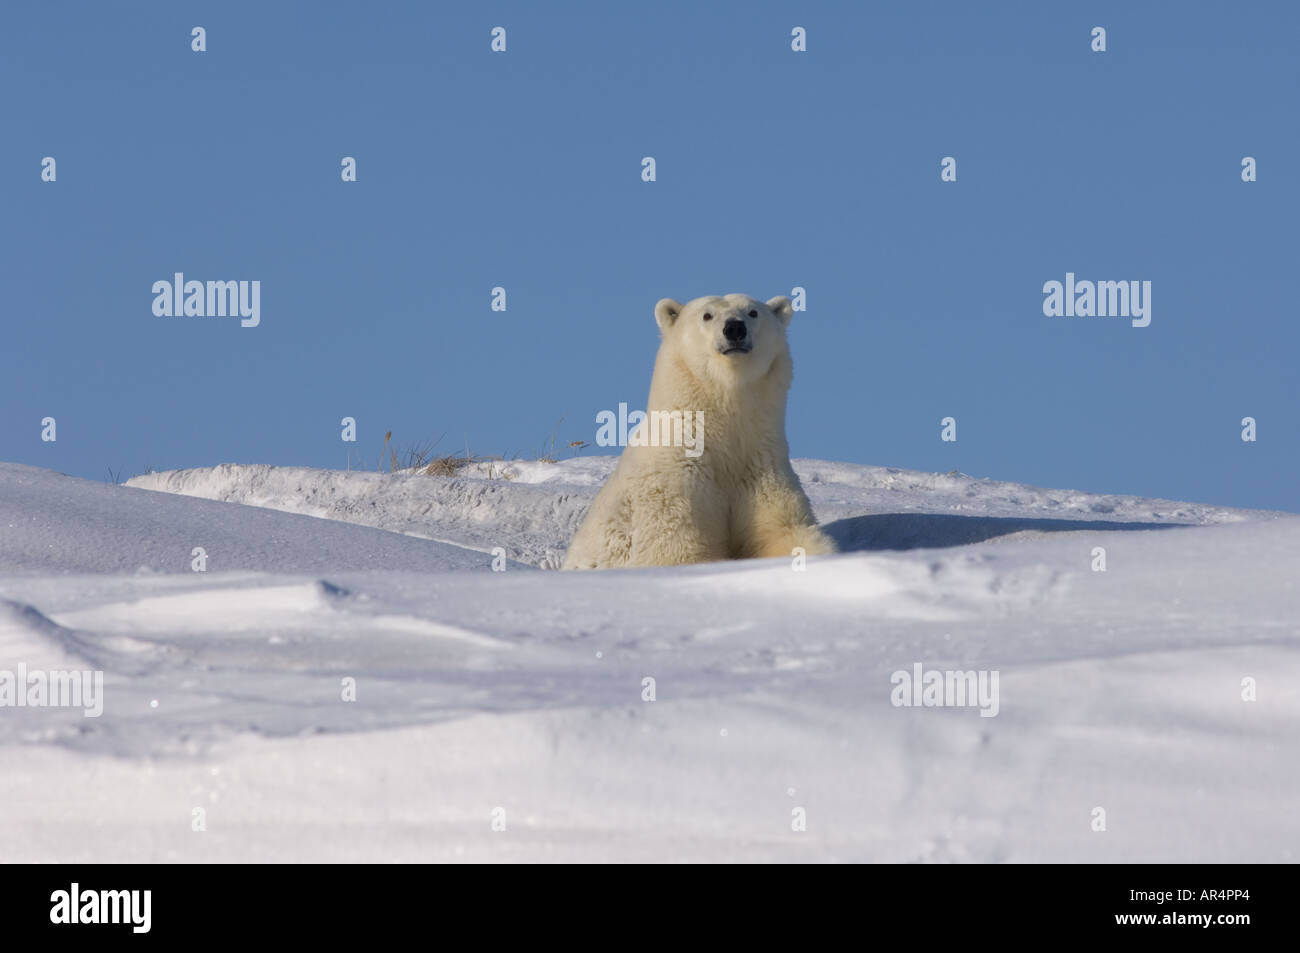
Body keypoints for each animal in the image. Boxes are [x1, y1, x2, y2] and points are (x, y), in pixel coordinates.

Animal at [561, 293, 837, 569]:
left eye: (753, 312)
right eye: (707, 315)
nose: (734, 328)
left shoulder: (761, 468)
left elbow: (786, 531)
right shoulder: (672, 485)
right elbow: (676, 551)